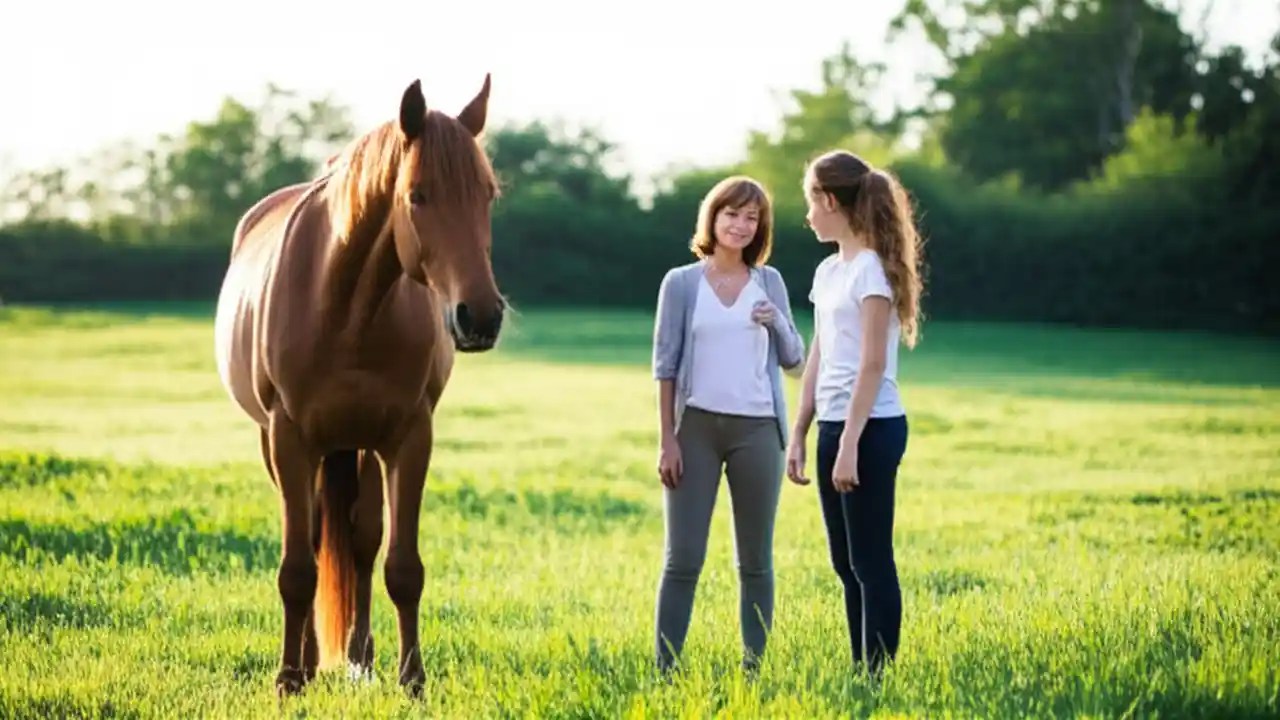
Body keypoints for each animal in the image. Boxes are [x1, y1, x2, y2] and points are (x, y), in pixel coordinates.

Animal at [213, 75, 505, 697]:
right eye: (417, 195)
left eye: (488, 194)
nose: (480, 316)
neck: (345, 306)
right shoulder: (289, 438)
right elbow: (298, 568)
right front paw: (288, 678)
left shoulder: (410, 437)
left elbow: (402, 567)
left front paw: (412, 679)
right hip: (286, 446)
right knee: (315, 538)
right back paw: (309, 660)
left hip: (361, 445)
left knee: (363, 541)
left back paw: (359, 658)